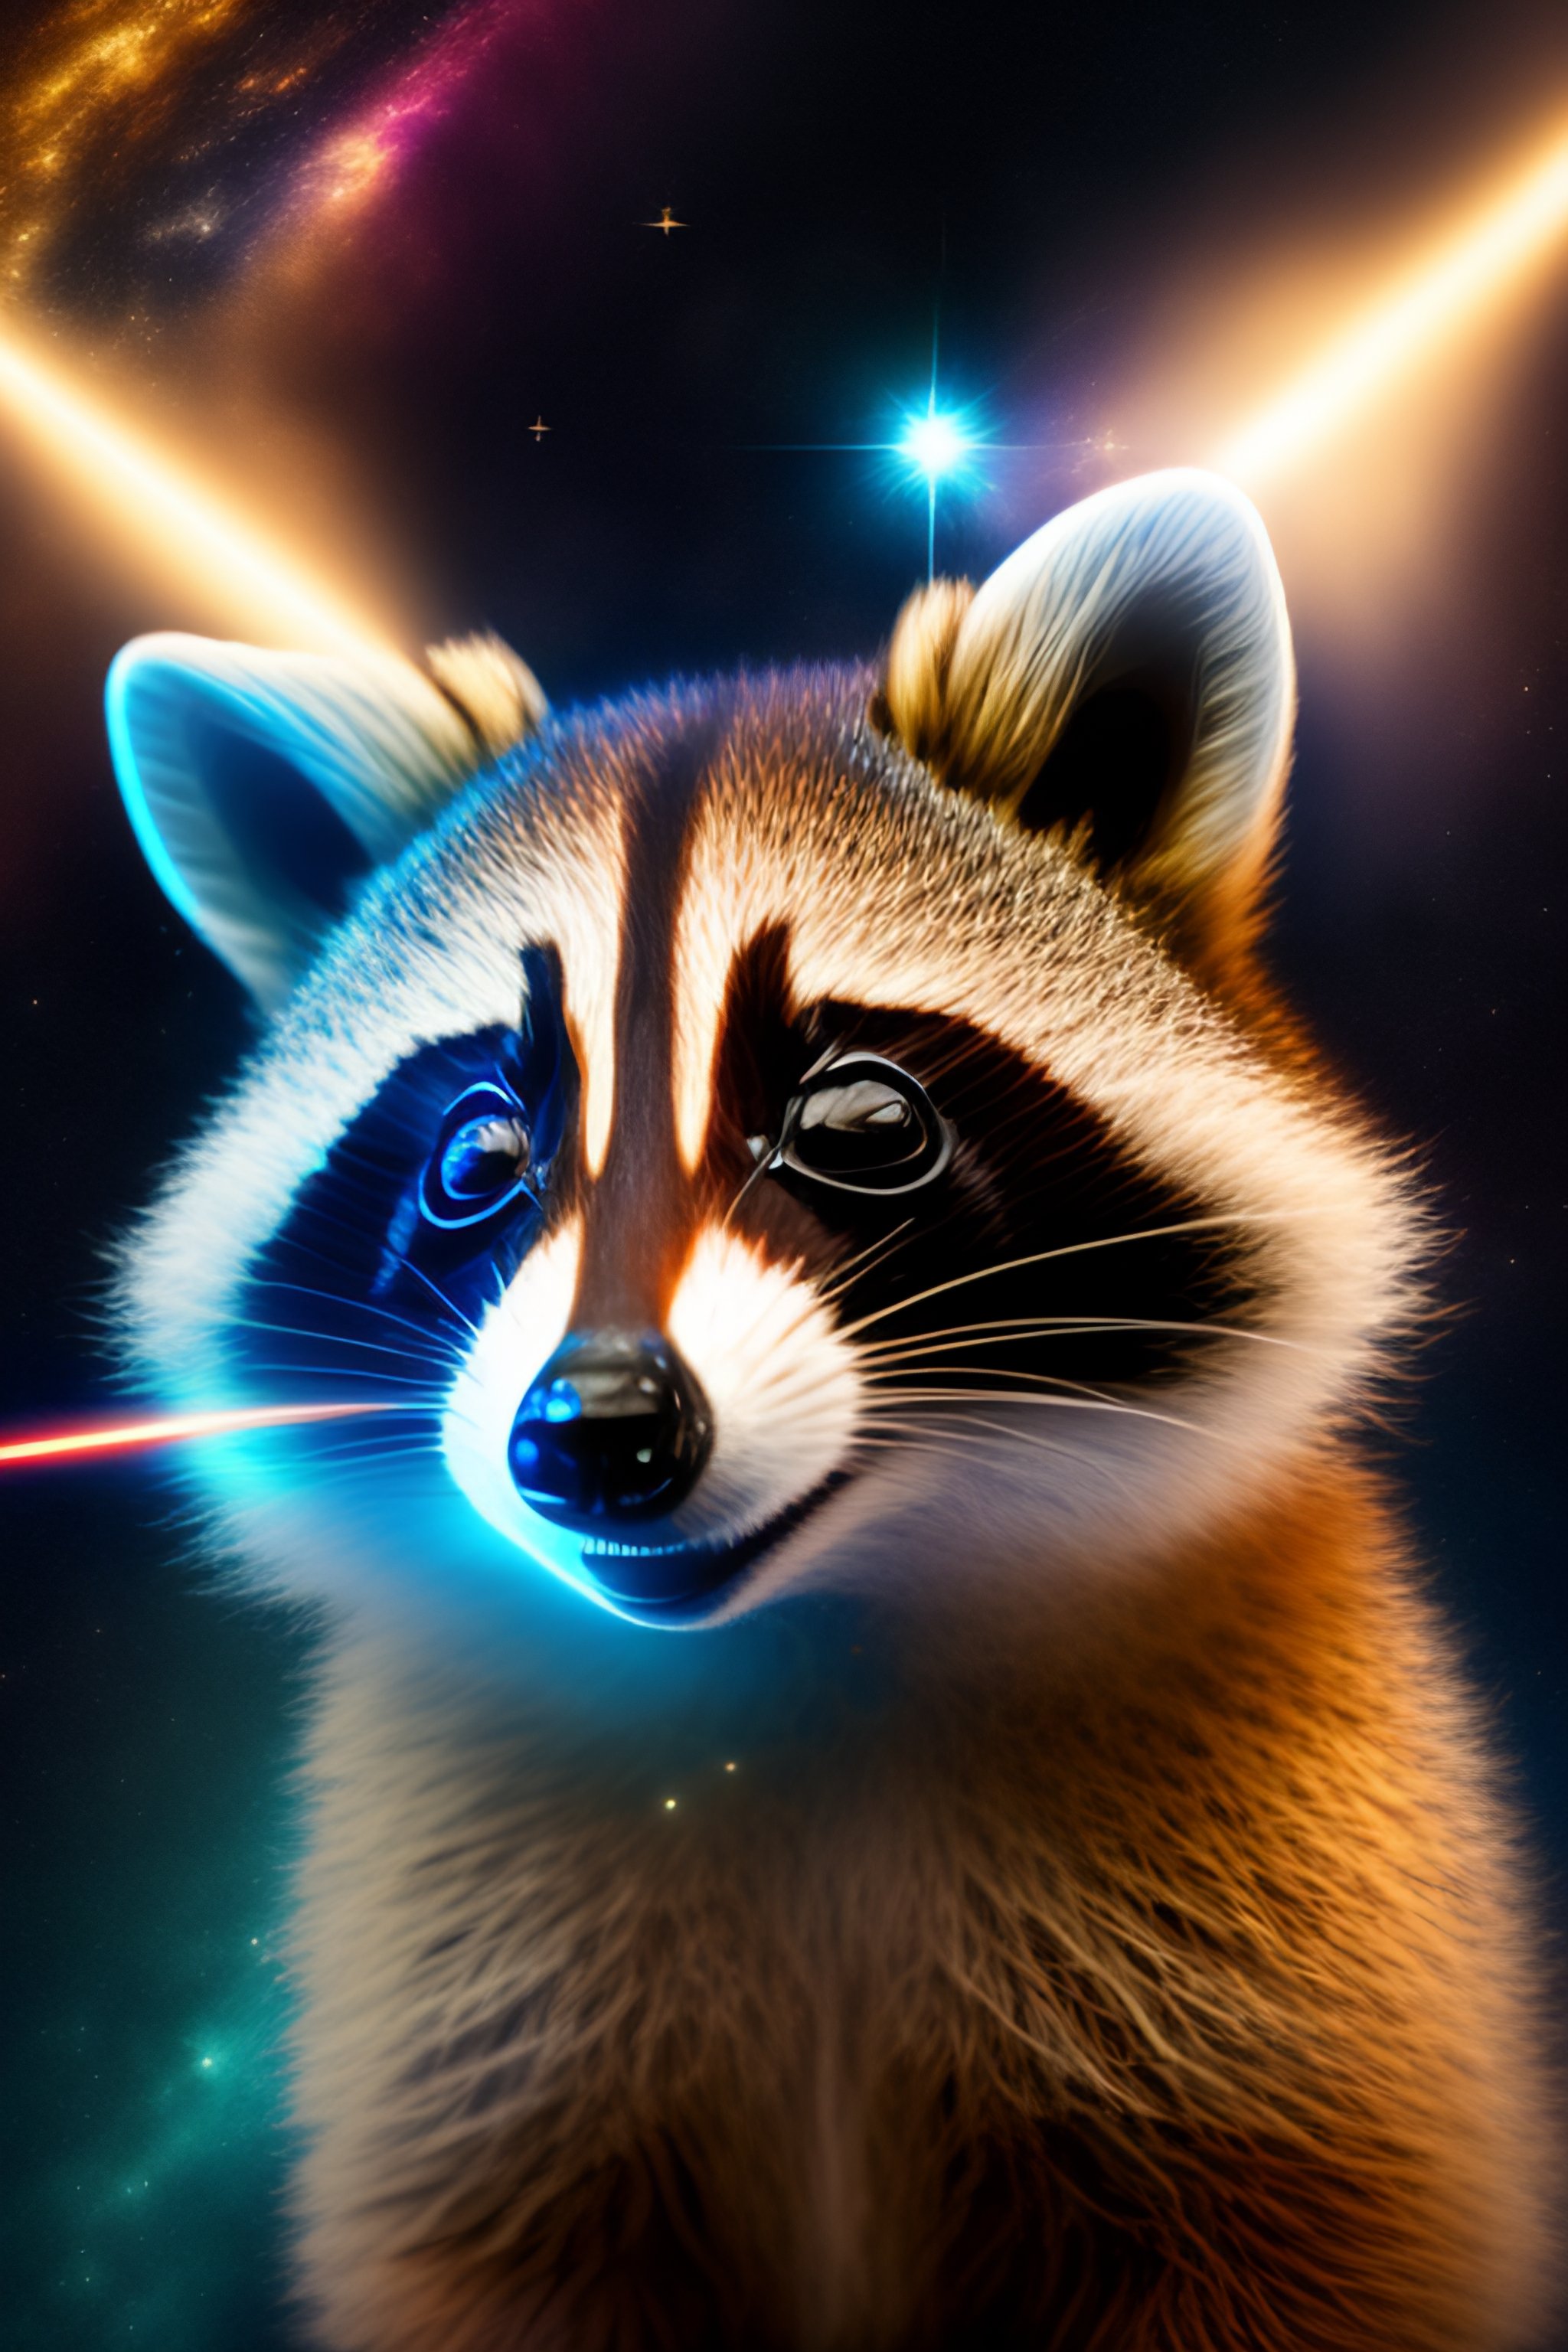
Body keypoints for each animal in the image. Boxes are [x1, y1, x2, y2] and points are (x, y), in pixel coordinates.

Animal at [107, 471, 1556, 2351]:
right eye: (477, 1154)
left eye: (860, 1122)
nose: (594, 1427)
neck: (792, 1658)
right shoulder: (479, 2019)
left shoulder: (1282, 1943)